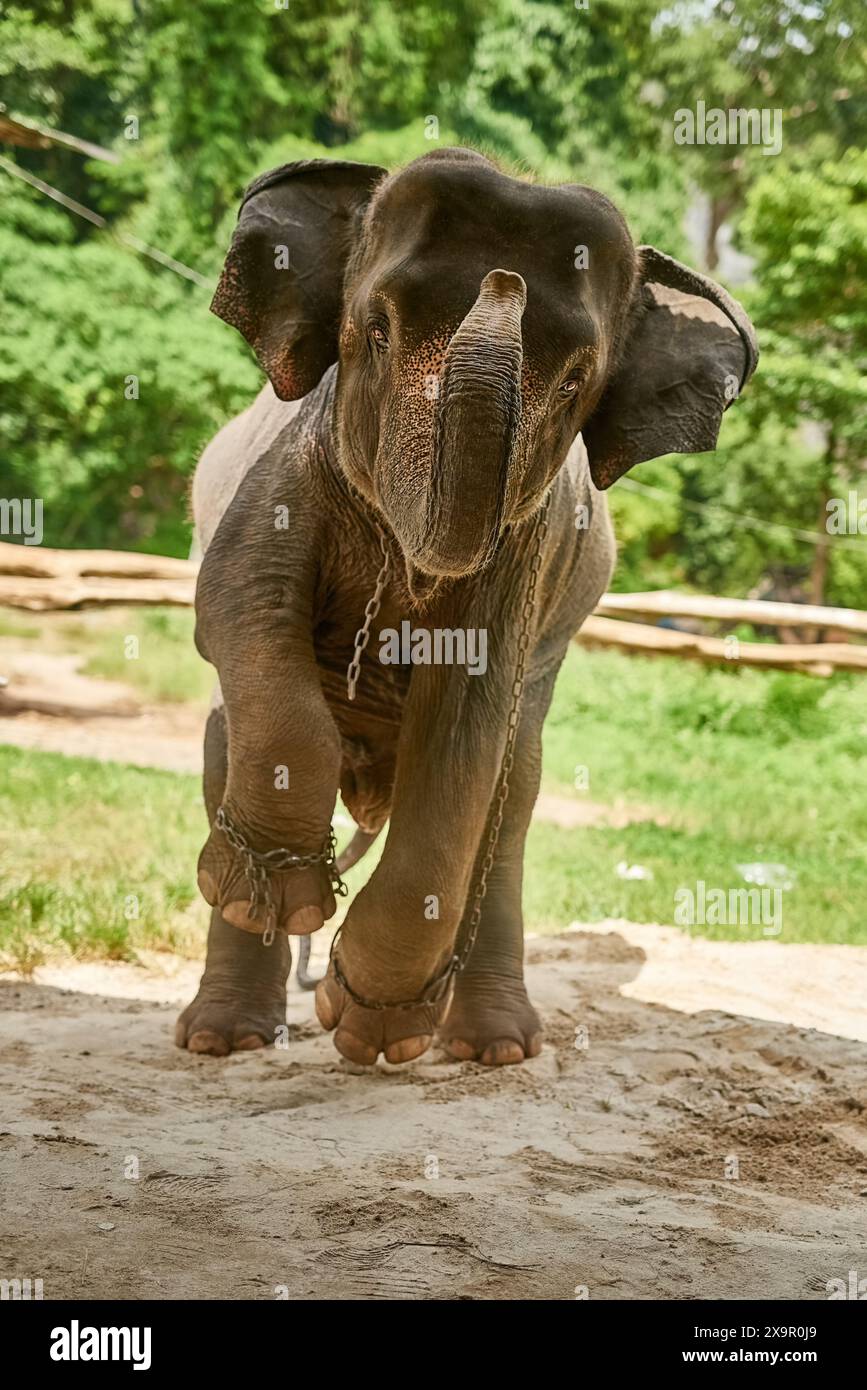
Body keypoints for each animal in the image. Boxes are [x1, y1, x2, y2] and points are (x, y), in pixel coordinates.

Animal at [176, 147, 757, 1066]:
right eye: (375, 330)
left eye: (575, 382)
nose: (503, 281)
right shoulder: (289, 468)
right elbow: (237, 603)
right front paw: (297, 904)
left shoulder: (527, 549)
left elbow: (465, 725)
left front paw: (372, 1024)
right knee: (218, 740)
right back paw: (225, 1023)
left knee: (512, 789)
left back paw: (491, 1047)